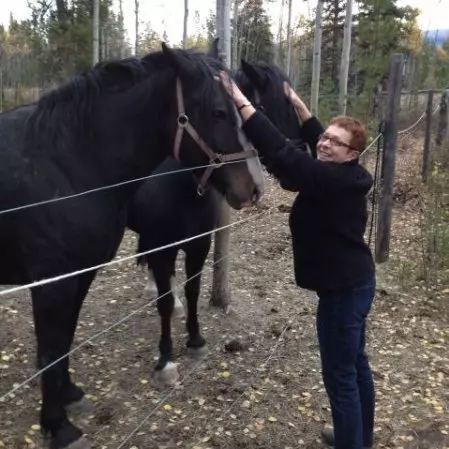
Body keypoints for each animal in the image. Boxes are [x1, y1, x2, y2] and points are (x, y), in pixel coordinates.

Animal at [0, 43, 264, 448]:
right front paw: (58, 427)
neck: (66, 164)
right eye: (219, 111)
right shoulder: (52, 283)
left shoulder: (84, 274)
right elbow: (50, 349)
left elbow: (65, 339)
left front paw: (69, 395)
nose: (252, 188)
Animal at [126, 54, 306, 384]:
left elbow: (192, 290)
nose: (303, 154)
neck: (179, 182)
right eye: (267, 109)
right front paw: (166, 360)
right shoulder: (162, 246)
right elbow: (163, 301)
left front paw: (195, 340)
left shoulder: (198, 245)